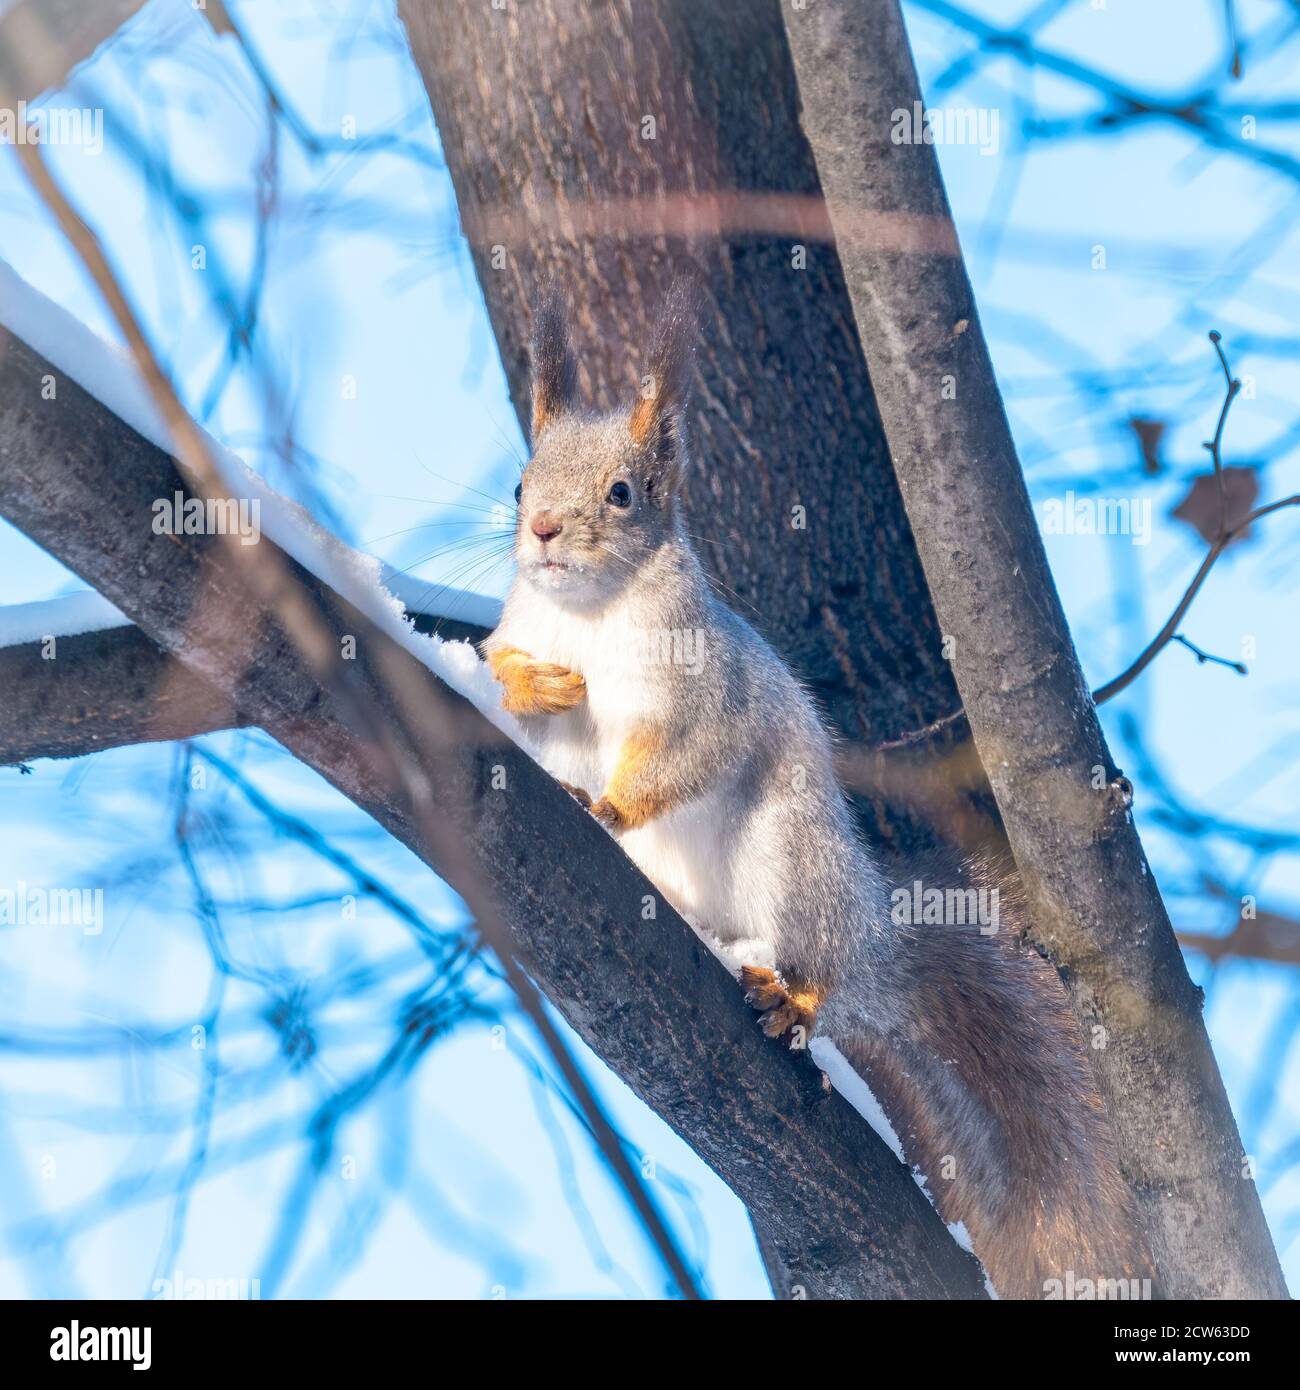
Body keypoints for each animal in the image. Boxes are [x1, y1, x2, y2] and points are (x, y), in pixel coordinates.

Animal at [484, 285, 1153, 1299]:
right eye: (523, 485)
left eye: (623, 492)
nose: (544, 531)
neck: (589, 613)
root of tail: (873, 937)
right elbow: (513, 684)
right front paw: (530, 684)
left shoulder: (704, 694)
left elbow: (685, 758)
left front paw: (613, 805)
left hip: (792, 861)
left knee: (822, 969)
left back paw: (797, 999)